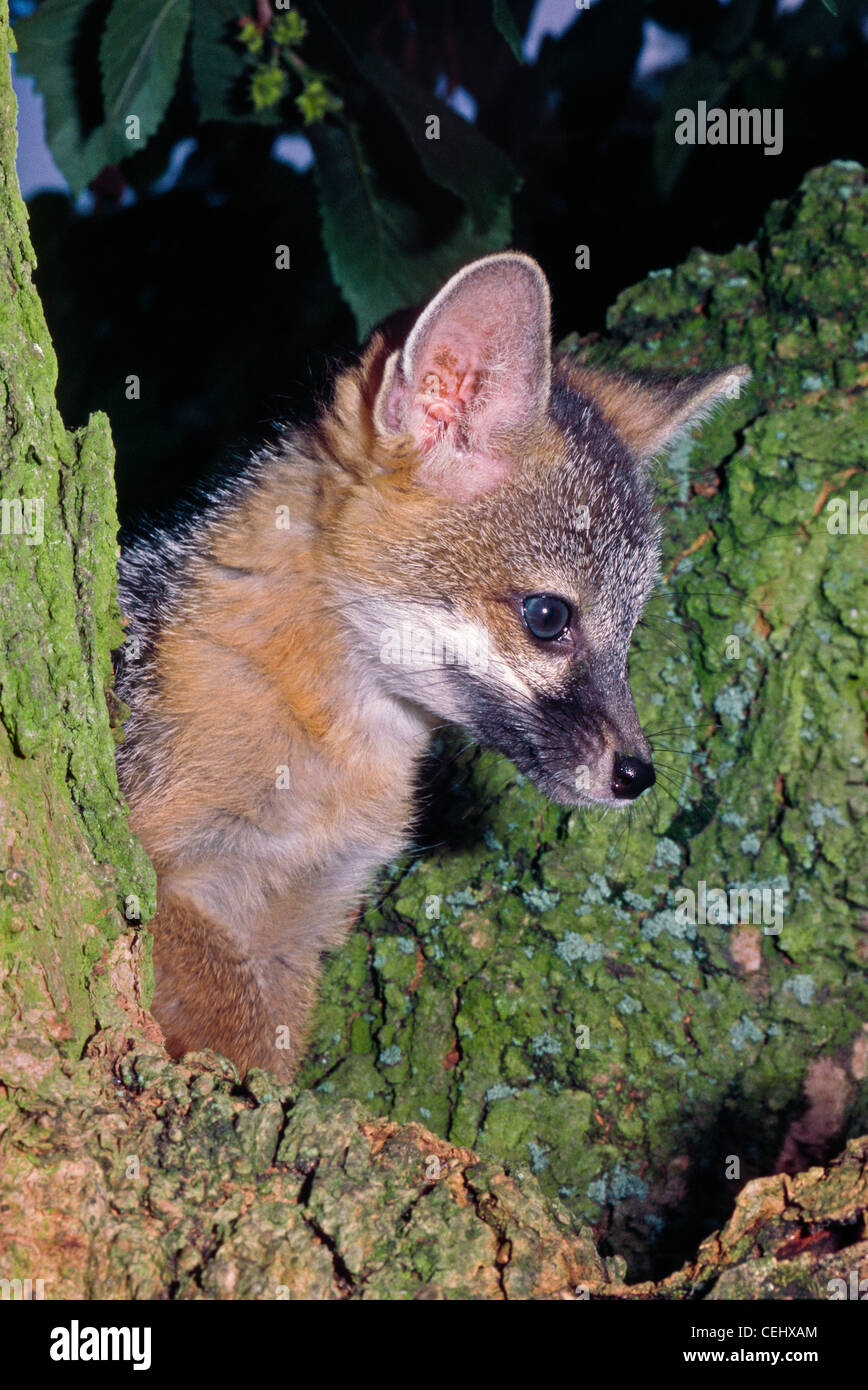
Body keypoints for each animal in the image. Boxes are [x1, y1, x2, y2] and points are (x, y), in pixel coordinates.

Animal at [114, 252, 747, 1082]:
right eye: (549, 618)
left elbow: (266, 1039)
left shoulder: (302, 923)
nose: (638, 775)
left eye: (631, 629)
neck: (327, 754)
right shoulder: (171, 871)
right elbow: (224, 997)